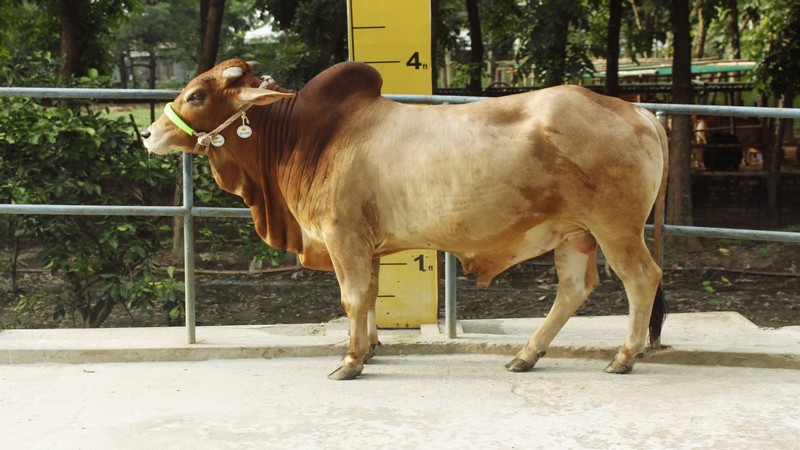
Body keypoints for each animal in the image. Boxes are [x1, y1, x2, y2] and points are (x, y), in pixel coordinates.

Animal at [142, 59, 669, 380]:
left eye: (196, 96)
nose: (148, 133)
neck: (306, 139)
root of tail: (638, 111)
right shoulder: (367, 246)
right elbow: (372, 295)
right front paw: (371, 347)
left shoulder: (344, 237)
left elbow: (353, 298)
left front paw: (351, 361)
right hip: (574, 233)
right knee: (574, 288)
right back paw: (526, 355)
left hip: (615, 228)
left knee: (642, 279)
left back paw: (623, 358)